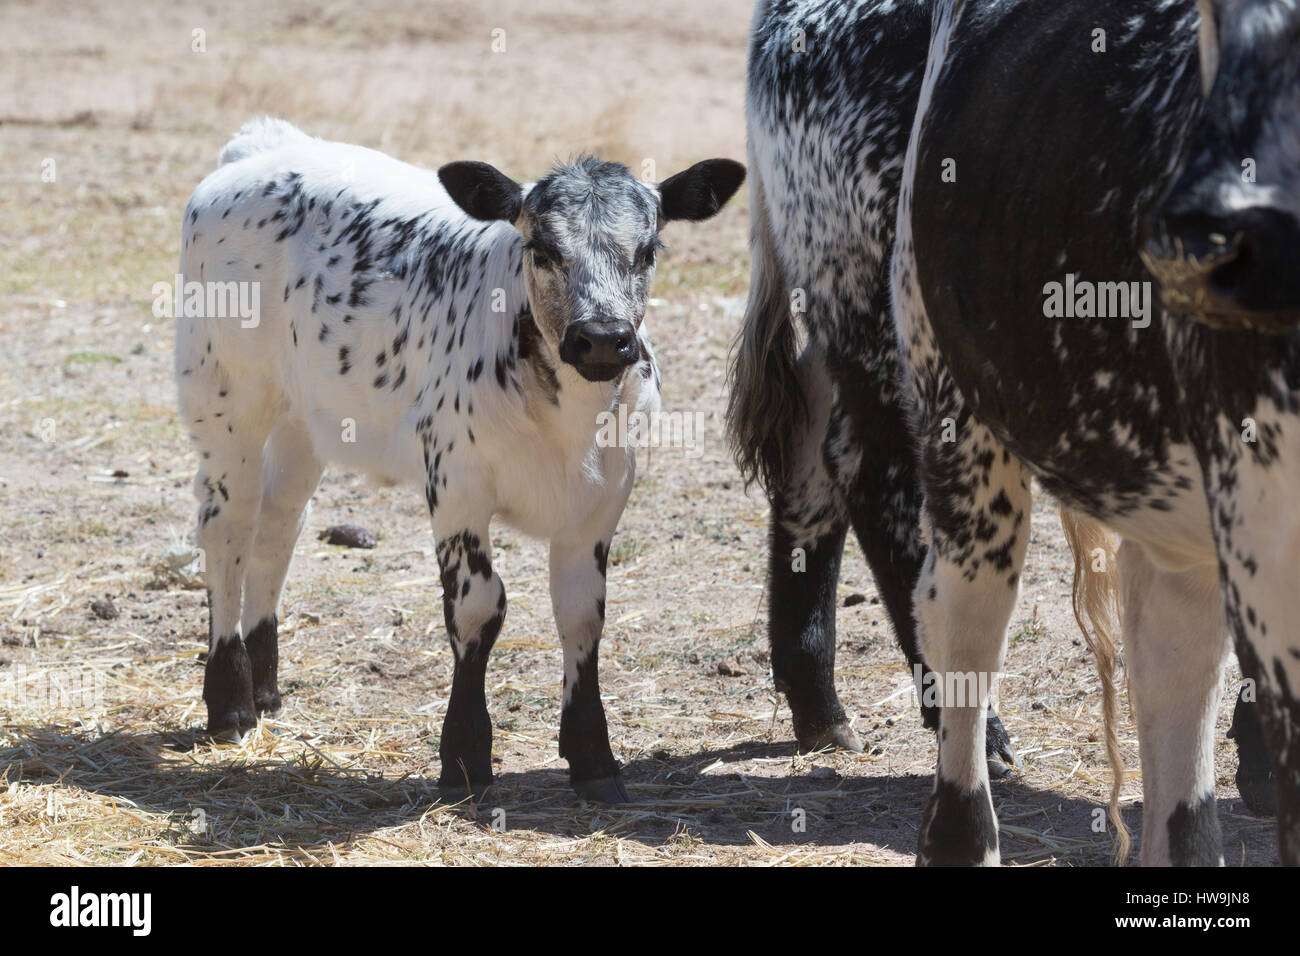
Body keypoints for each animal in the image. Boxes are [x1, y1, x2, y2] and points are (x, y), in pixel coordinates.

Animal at [176, 118, 744, 803]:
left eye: (649, 250)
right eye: (541, 249)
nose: (603, 339)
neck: (566, 417)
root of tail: (263, 147)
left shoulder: (603, 499)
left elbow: (582, 613)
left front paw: (593, 757)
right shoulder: (456, 487)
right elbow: (479, 608)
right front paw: (466, 756)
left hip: (301, 422)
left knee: (277, 526)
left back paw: (265, 689)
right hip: (226, 399)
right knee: (227, 531)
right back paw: (229, 700)